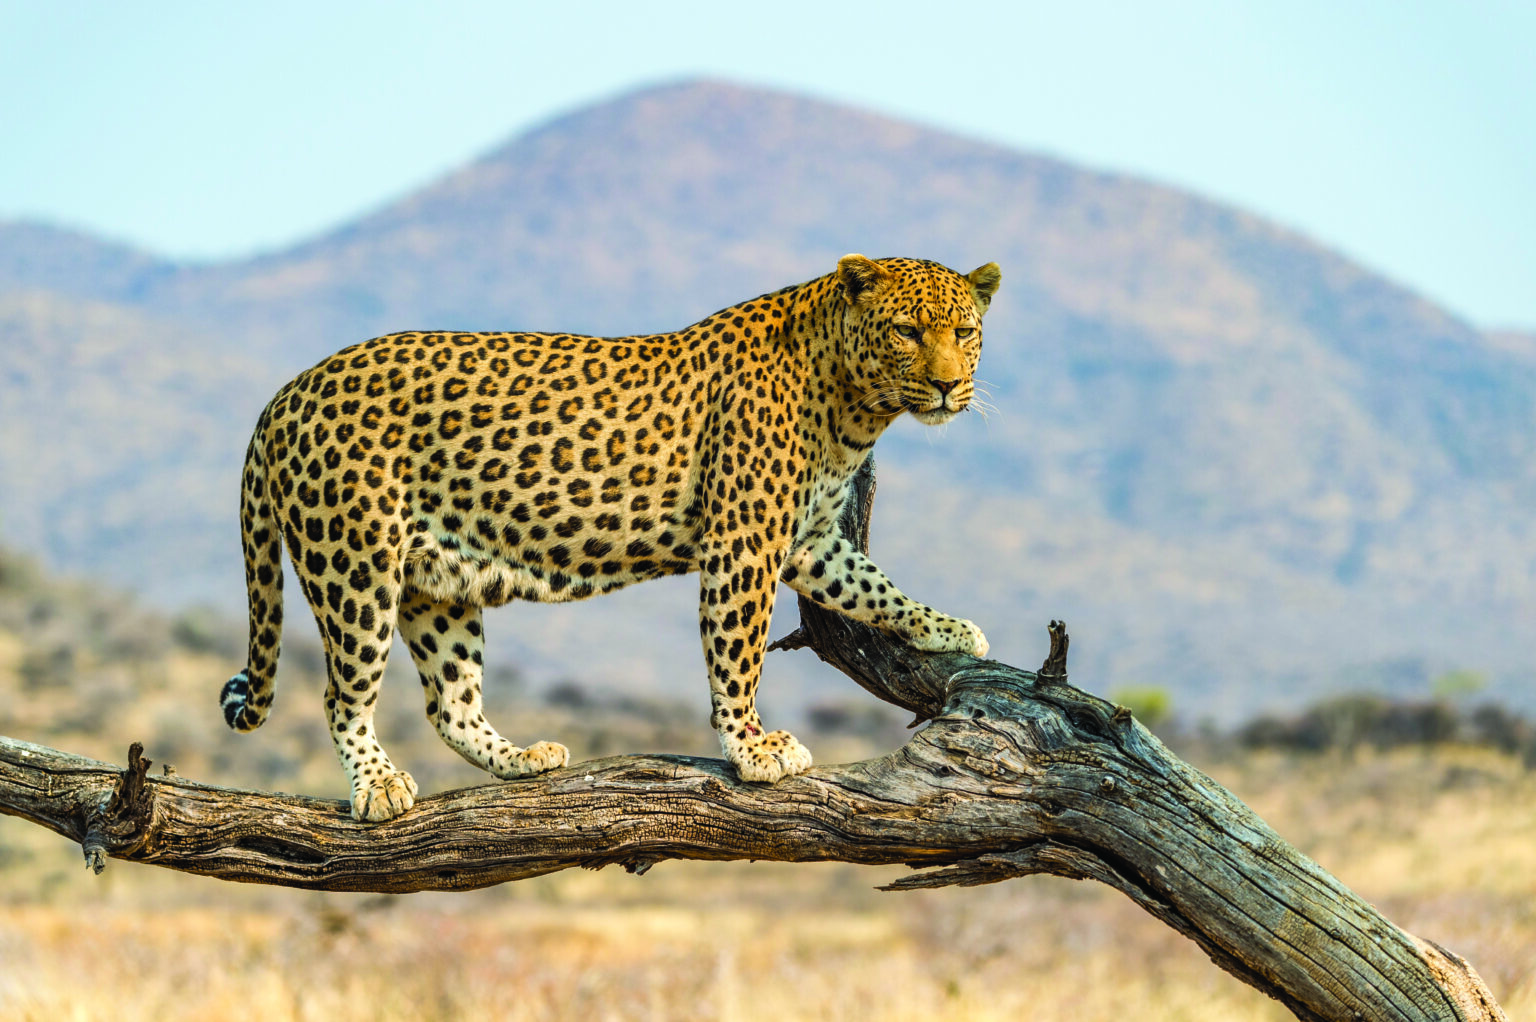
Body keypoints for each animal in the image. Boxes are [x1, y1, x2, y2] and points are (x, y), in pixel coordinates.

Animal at [220, 254, 1001, 821]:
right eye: (906, 331)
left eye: (963, 334)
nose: (947, 386)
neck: (854, 407)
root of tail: (283, 393)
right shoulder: (744, 542)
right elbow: (738, 654)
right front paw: (751, 748)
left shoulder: (808, 540)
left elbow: (873, 586)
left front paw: (948, 629)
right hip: (355, 565)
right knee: (342, 696)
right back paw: (378, 788)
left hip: (435, 583)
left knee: (451, 703)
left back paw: (521, 760)